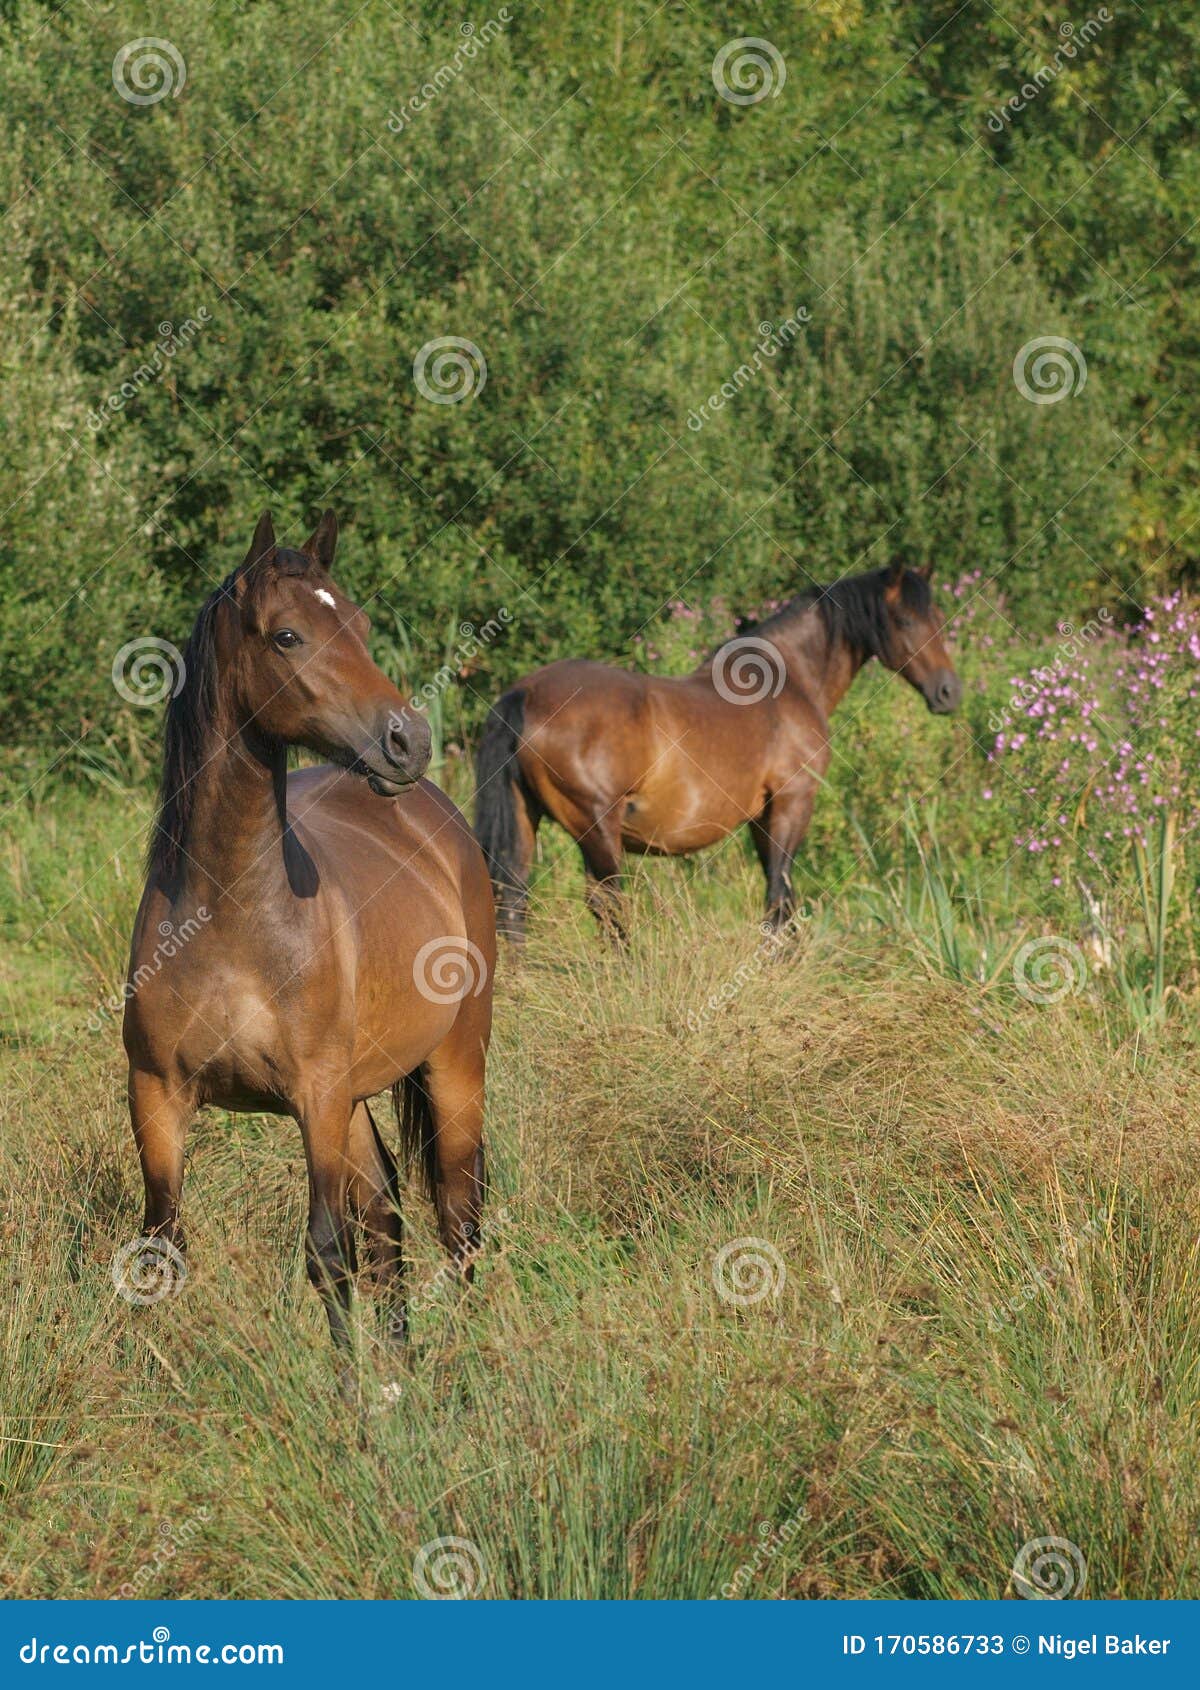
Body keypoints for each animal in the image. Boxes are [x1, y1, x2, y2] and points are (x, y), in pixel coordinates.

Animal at [121, 510, 494, 1369]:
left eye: (358, 625)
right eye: (288, 635)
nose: (407, 739)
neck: (230, 920)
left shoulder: (312, 1097)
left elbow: (327, 1252)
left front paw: (346, 1394)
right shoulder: (156, 1096)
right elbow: (163, 1250)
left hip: (452, 1066)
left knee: (457, 1219)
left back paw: (465, 1372)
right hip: (356, 1098)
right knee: (388, 1213)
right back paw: (403, 1371)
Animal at [473, 560, 961, 940]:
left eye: (938, 616)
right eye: (905, 621)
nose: (947, 692)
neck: (789, 682)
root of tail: (524, 694)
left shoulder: (762, 817)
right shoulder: (792, 803)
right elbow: (779, 899)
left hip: (527, 818)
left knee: (512, 901)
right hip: (596, 827)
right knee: (606, 905)